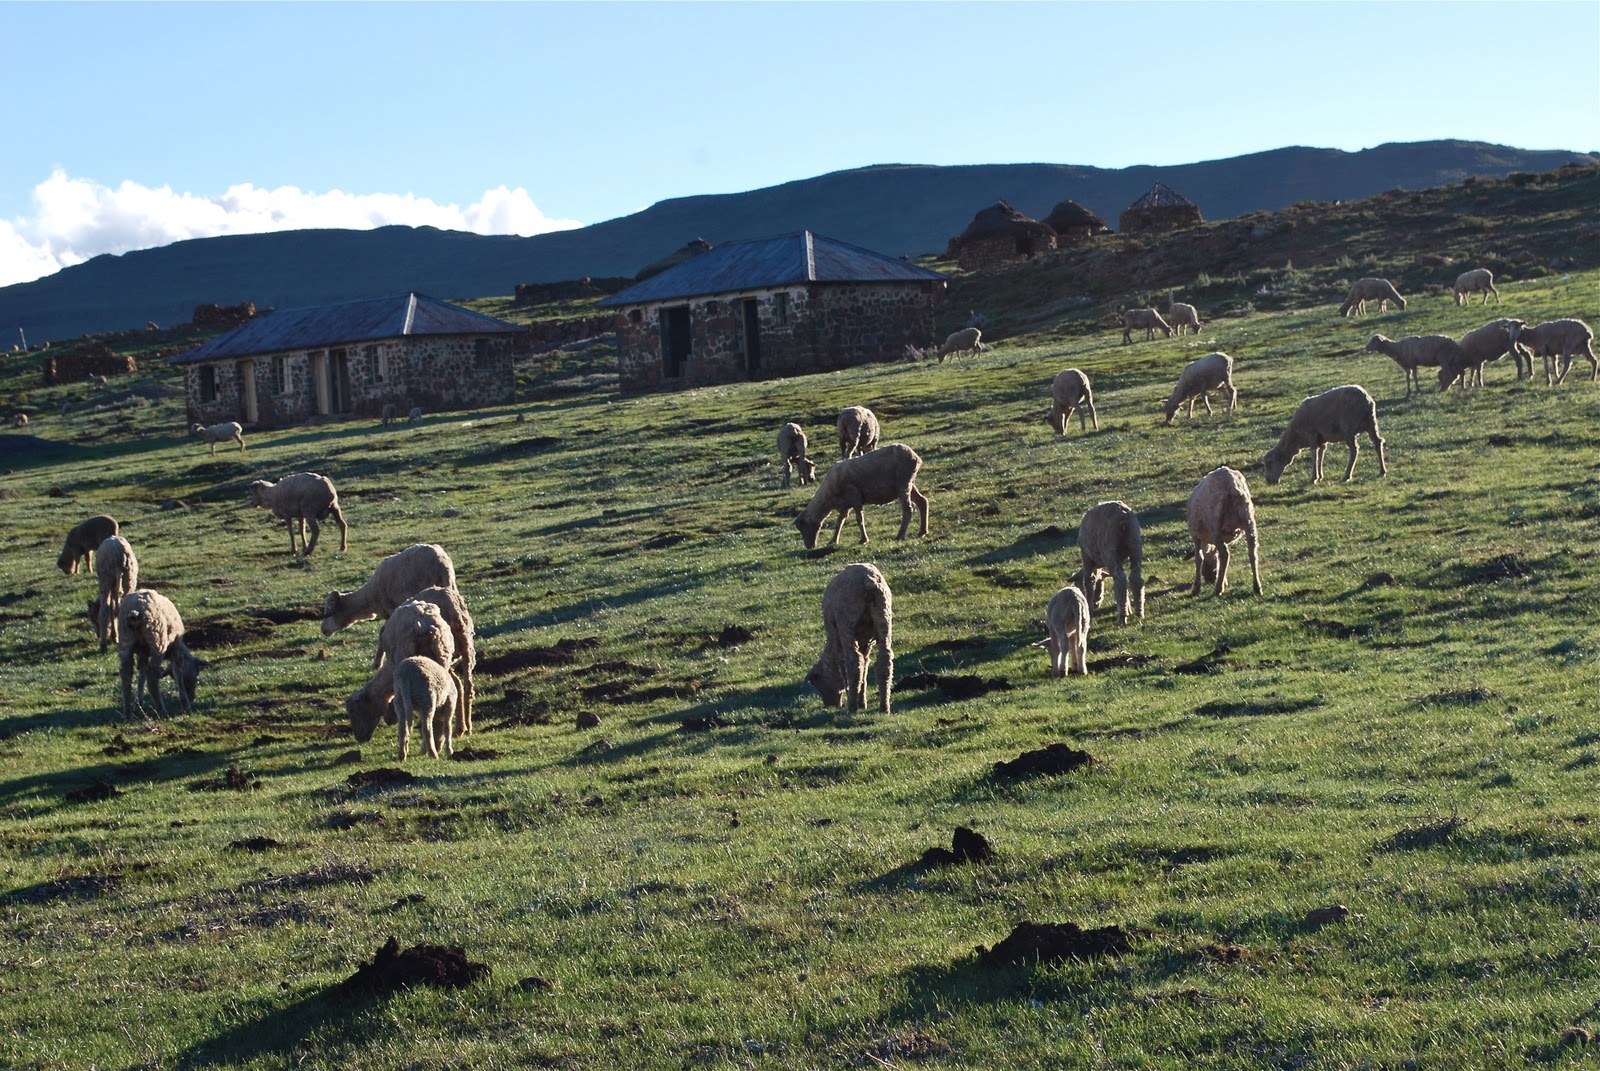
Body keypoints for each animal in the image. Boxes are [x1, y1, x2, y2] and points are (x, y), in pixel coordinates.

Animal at [116, 589, 205, 718]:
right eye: (195, 676)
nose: (192, 697)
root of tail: (135, 612)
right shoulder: (176, 647)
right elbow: (177, 672)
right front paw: (185, 704)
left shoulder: (142, 653)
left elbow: (142, 672)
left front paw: (138, 702)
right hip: (157, 640)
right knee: (152, 675)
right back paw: (161, 710)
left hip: (125, 640)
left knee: (126, 673)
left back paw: (128, 713)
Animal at [795, 444, 928, 549]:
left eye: (804, 527)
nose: (809, 547)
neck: (829, 496)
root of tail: (915, 456)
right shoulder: (845, 504)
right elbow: (839, 521)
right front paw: (833, 541)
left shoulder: (855, 497)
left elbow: (859, 519)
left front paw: (863, 540)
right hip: (909, 483)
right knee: (922, 501)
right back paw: (922, 532)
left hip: (903, 482)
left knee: (908, 509)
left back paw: (900, 536)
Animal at [806, 562, 893, 715]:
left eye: (818, 683)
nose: (831, 705)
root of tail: (868, 580)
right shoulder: (866, 643)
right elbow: (865, 667)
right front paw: (862, 702)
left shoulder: (837, 637)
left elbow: (845, 665)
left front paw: (856, 701)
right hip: (883, 618)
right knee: (884, 659)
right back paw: (884, 707)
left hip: (847, 622)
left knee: (853, 661)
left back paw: (852, 706)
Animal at [1187, 467, 1263, 598]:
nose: (1210, 579)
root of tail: (1231, 486)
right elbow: (1218, 559)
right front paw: (1223, 580)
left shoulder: (1196, 535)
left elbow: (1199, 558)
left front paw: (1197, 587)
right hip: (1248, 518)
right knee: (1252, 552)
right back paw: (1257, 587)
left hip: (1215, 524)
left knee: (1225, 555)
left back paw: (1218, 589)